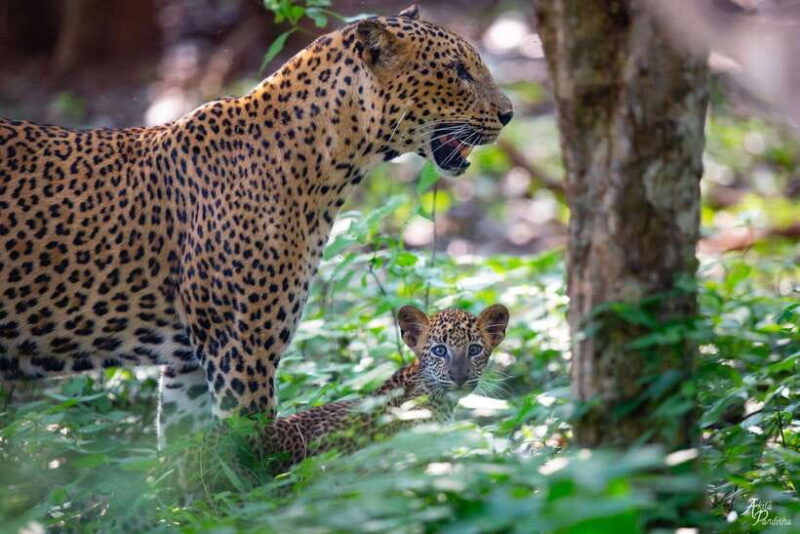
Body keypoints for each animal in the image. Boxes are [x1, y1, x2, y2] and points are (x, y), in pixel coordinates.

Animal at [0, 4, 513, 445]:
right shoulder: (240, 352)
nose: (509, 114)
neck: (329, 163)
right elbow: (250, 455)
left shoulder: (187, 363)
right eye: (459, 71)